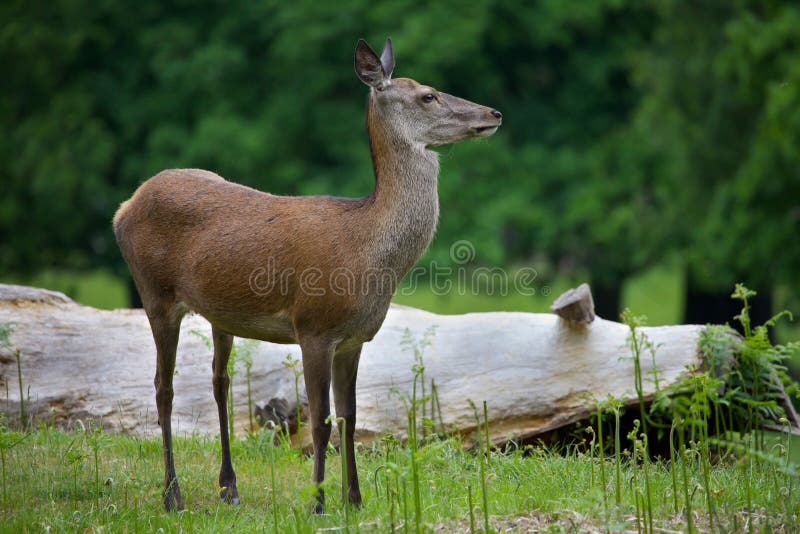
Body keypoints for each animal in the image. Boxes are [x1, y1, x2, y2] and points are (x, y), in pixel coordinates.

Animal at [113, 37, 501, 513]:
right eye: (428, 95)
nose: (493, 113)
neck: (367, 253)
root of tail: (124, 207)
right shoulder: (314, 325)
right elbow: (320, 420)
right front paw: (317, 503)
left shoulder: (354, 338)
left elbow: (350, 417)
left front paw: (354, 500)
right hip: (155, 293)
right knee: (162, 388)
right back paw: (173, 495)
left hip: (220, 314)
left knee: (219, 382)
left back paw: (229, 488)